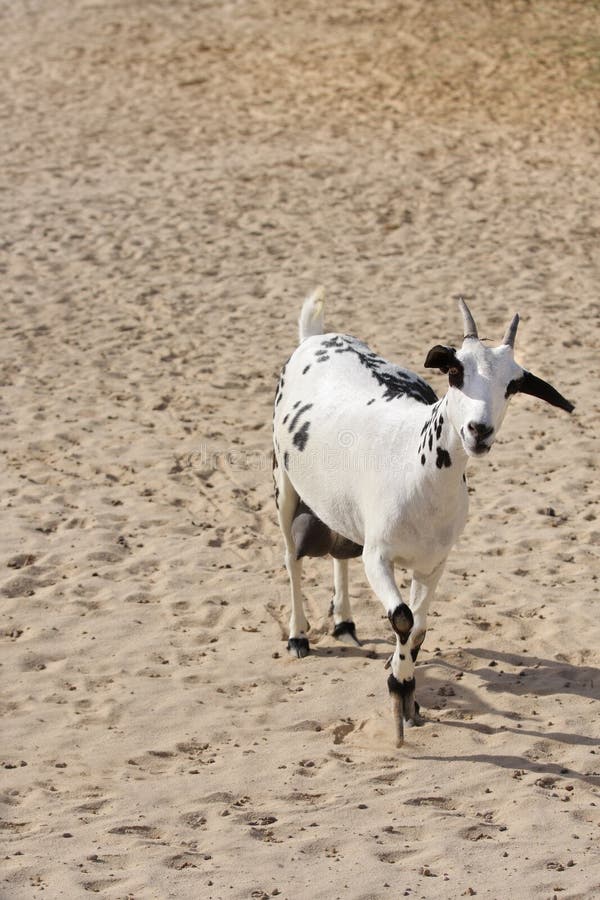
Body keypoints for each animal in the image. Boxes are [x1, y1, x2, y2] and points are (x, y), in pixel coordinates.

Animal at [272, 289, 574, 746]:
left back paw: (344, 623)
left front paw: (408, 695)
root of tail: (315, 336)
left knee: (340, 552)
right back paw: (299, 636)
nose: (479, 431)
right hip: (283, 480)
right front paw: (399, 689)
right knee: (292, 560)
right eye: (455, 370)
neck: (417, 465)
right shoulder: (378, 557)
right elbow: (402, 617)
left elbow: (419, 627)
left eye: (513, 385)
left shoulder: (434, 564)